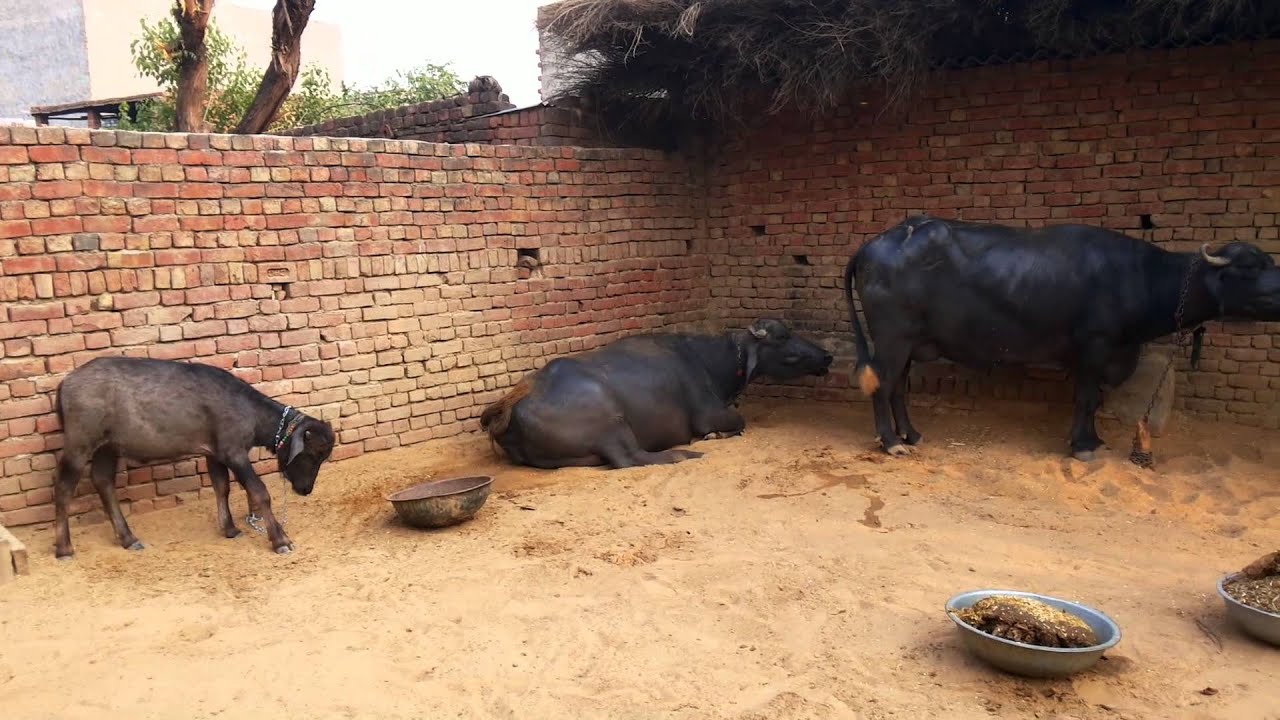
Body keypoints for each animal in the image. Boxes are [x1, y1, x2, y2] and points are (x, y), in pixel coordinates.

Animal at [480, 318, 834, 469]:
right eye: (783, 337)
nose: (827, 356)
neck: (709, 361)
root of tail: (513, 404)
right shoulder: (710, 414)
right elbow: (737, 422)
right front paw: (712, 437)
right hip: (612, 425)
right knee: (630, 458)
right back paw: (684, 455)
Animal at [844, 215, 1280, 460]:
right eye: (1248, 268)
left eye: (1268, 262)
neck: (1139, 277)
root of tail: (873, 245)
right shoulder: (1094, 345)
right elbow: (1087, 398)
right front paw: (1082, 446)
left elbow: (1096, 400)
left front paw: (1096, 439)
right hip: (892, 338)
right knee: (883, 385)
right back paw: (891, 442)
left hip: (908, 343)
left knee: (898, 386)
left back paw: (912, 434)